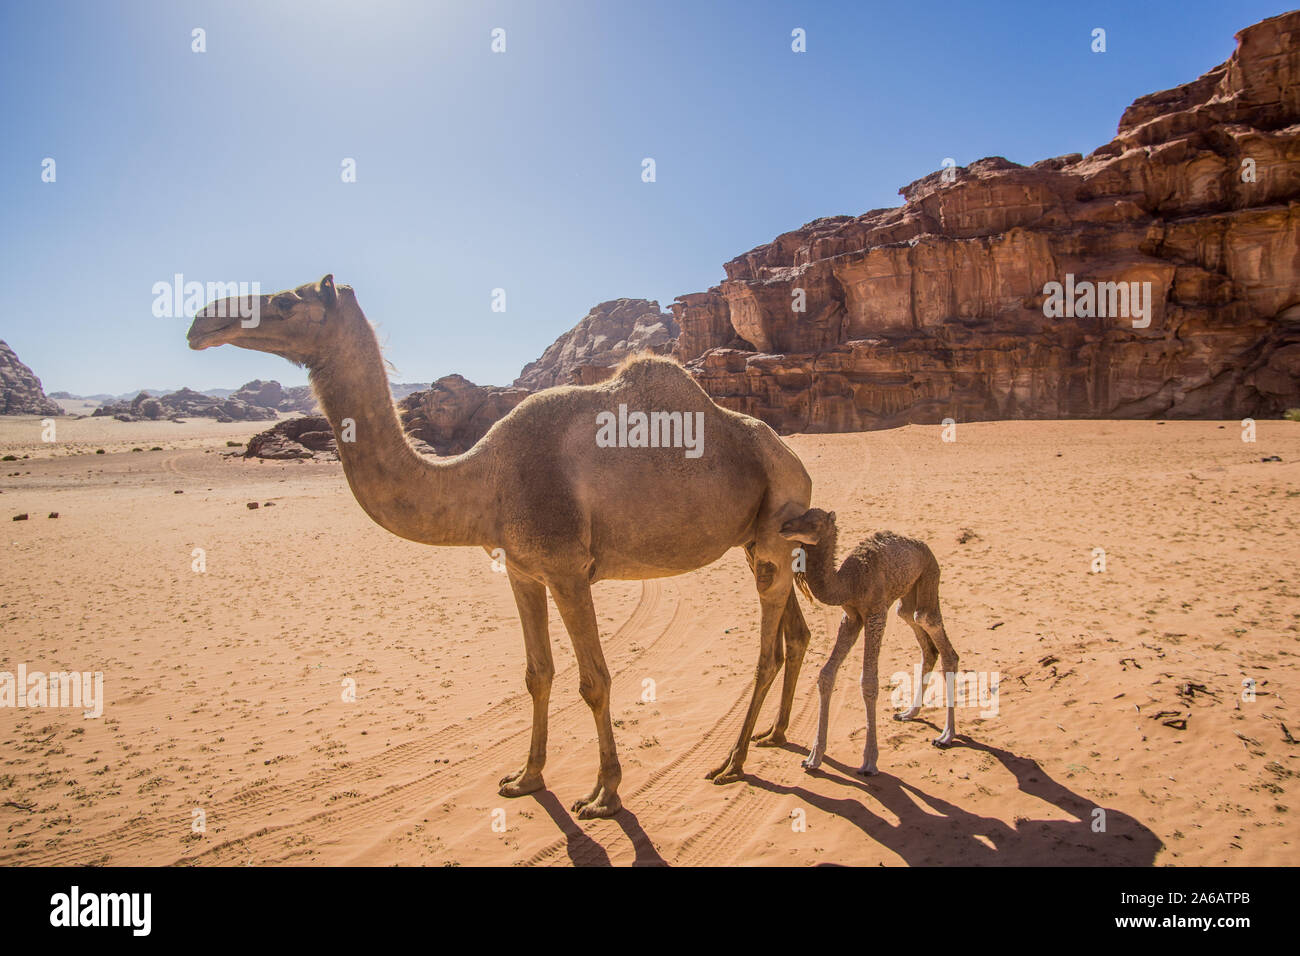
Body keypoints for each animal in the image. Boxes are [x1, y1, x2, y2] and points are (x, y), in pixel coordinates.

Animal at [187, 275, 813, 818]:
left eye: (287, 301)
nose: (201, 321)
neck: (485, 479)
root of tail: (794, 458)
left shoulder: (566, 570)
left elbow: (595, 680)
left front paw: (604, 796)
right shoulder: (522, 571)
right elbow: (538, 674)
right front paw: (526, 777)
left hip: (775, 522)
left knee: (766, 650)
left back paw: (733, 762)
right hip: (757, 539)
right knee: (794, 633)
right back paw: (774, 734)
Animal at [779, 508, 958, 775]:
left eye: (815, 522)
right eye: (801, 514)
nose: (784, 527)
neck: (849, 582)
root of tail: (924, 546)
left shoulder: (875, 615)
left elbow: (869, 682)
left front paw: (869, 761)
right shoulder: (852, 618)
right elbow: (826, 674)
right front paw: (813, 758)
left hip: (929, 577)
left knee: (937, 635)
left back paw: (946, 736)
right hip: (907, 597)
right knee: (924, 641)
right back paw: (908, 713)